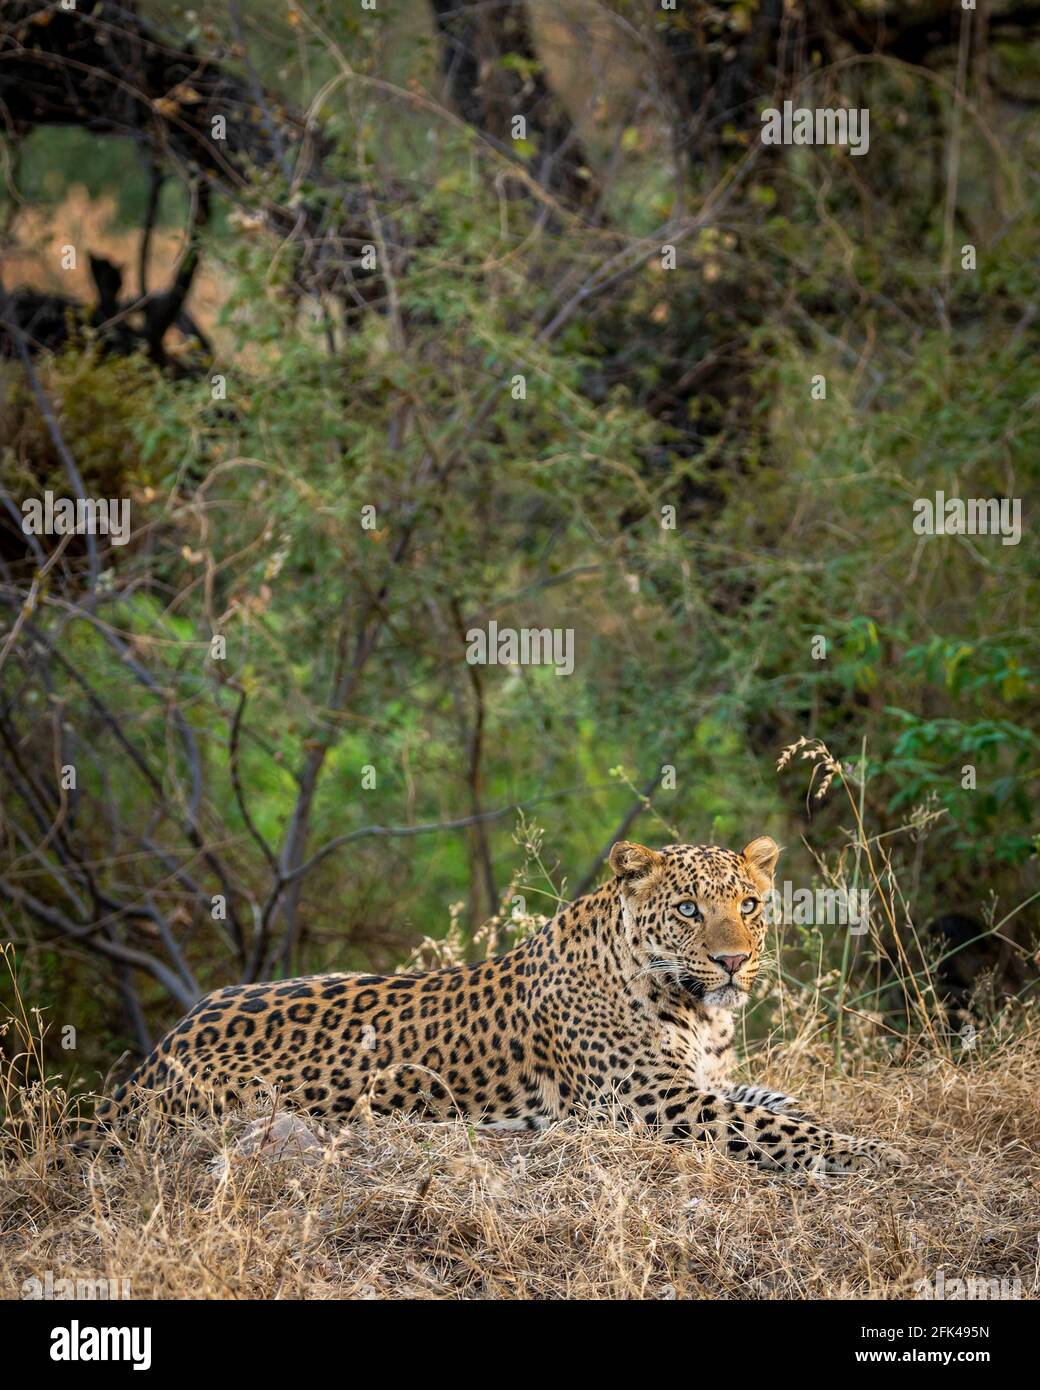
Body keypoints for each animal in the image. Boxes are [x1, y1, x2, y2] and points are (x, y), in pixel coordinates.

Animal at [82, 836, 901, 1173]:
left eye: (749, 905)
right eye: (690, 910)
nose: (734, 960)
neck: (699, 1009)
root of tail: (157, 1054)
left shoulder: (701, 1080)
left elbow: (776, 1100)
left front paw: (833, 1123)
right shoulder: (653, 1102)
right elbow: (771, 1127)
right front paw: (869, 1152)